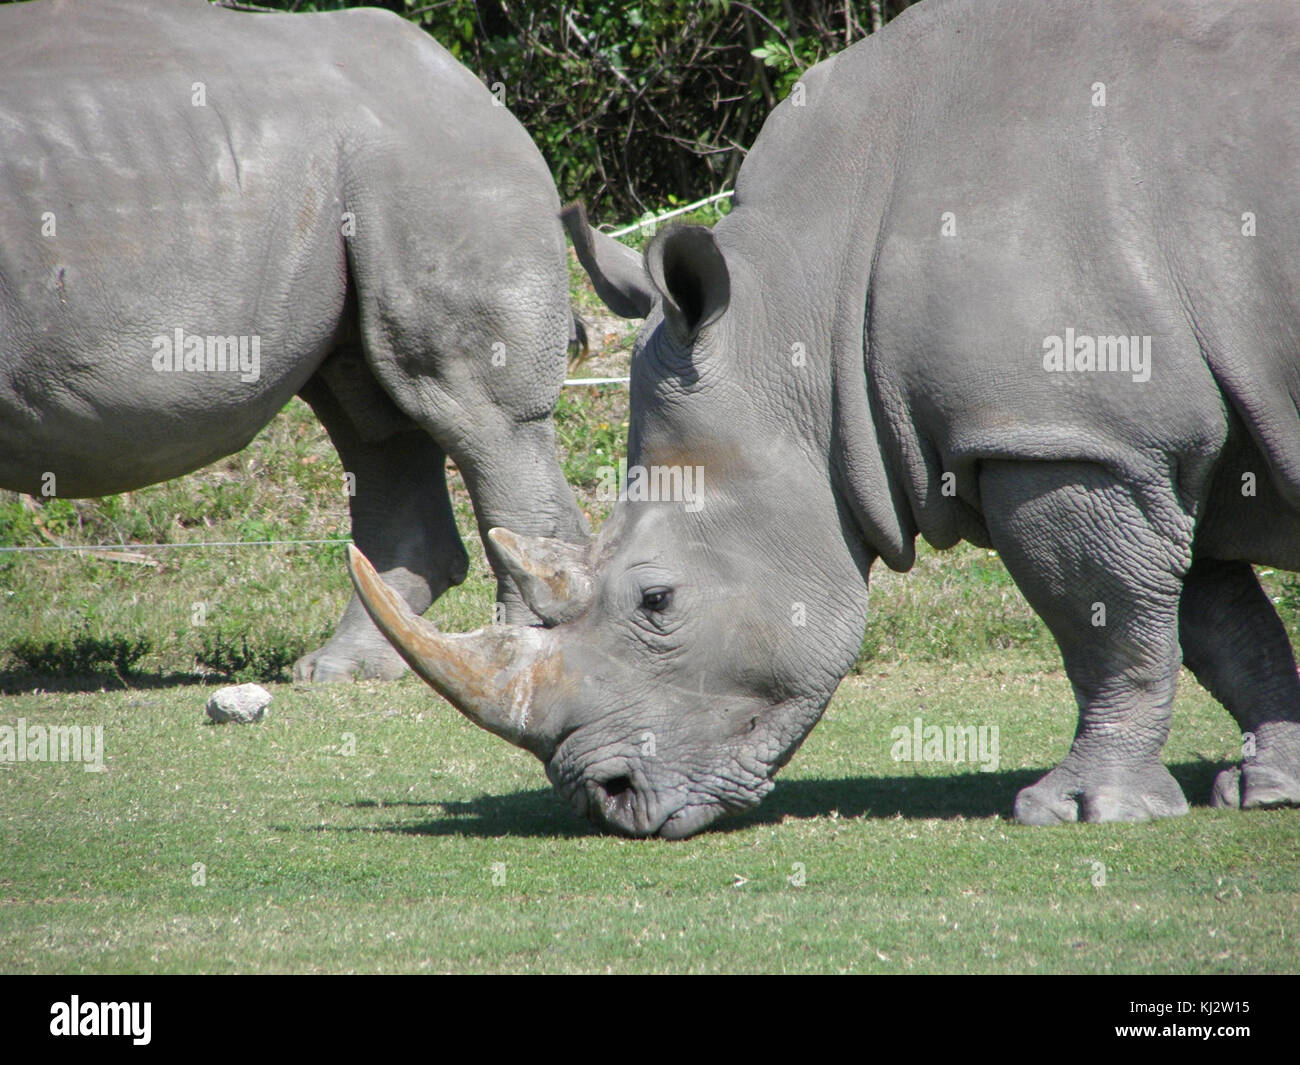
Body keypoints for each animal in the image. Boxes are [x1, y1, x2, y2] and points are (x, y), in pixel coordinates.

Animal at [0, 0, 588, 681]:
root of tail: (476, 89)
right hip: (376, 173)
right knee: (373, 412)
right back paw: (338, 671)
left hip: (440, 172)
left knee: (474, 415)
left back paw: (519, 662)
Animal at [347, 0, 1300, 837]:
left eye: (658, 599)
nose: (606, 799)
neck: (808, 311)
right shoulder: (1145, 441)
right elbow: (1216, 622)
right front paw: (1271, 785)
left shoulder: (1066, 436)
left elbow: (1109, 618)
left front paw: (1081, 808)